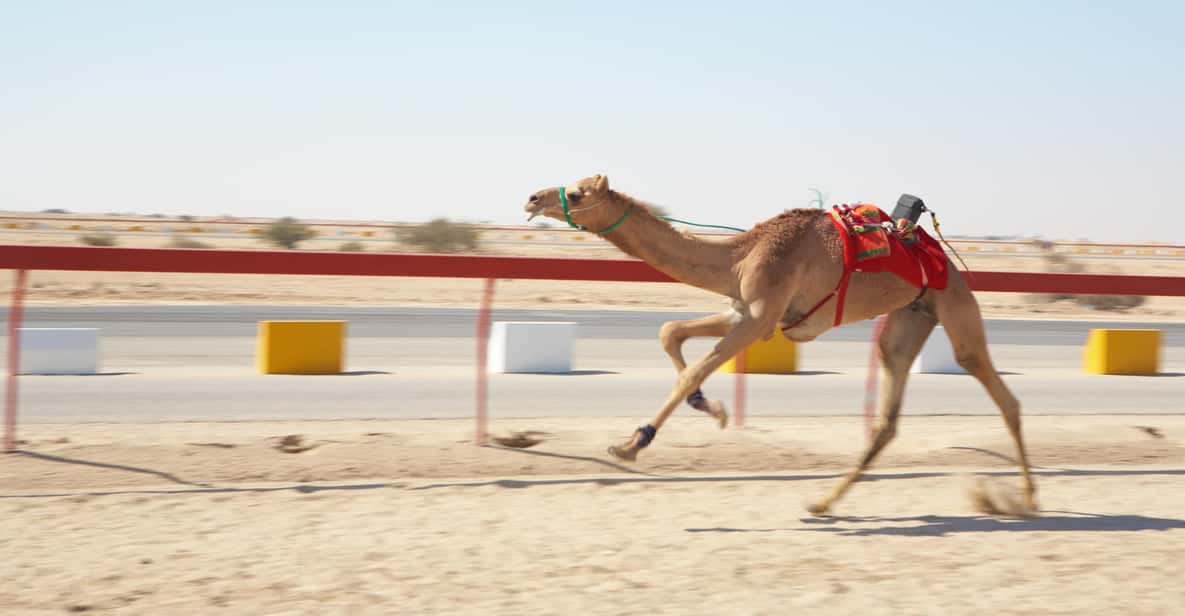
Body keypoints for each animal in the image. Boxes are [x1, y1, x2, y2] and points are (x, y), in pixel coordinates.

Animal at [524, 174, 1036, 515]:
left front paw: (631, 445)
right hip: (910, 316)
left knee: (998, 390)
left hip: (954, 304)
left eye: (577, 192)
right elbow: (670, 331)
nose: (532, 195)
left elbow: (694, 367)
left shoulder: (760, 316)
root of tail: (944, 257)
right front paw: (713, 409)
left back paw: (1029, 498)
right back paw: (823, 503)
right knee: (888, 413)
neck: (738, 255)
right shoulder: (745, 310)